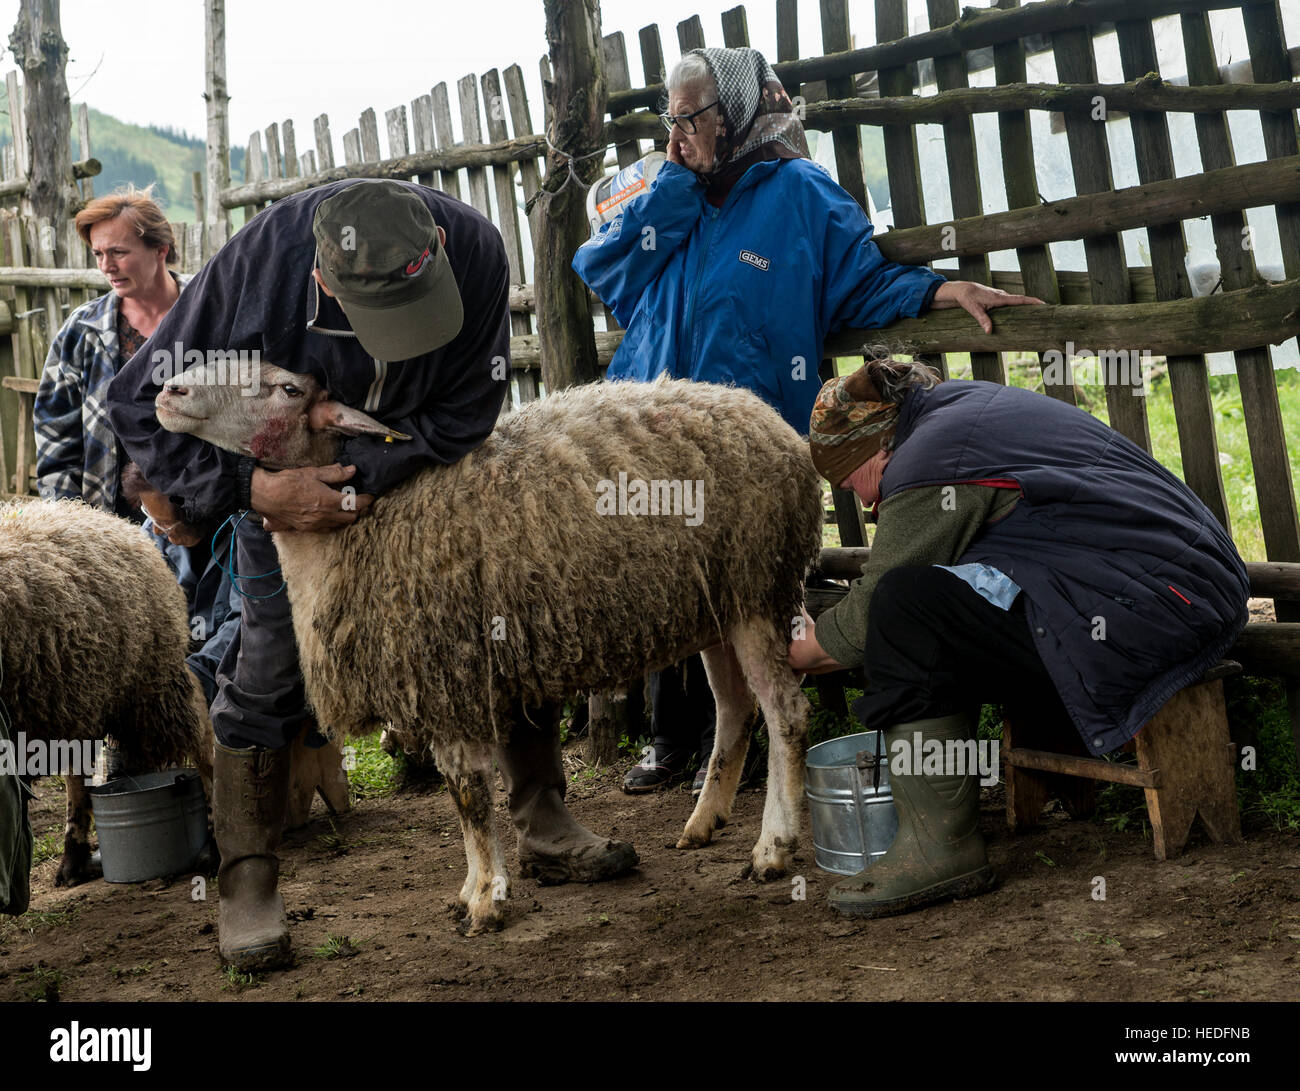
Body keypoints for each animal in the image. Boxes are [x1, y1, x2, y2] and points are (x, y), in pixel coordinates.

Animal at [0, 499, 214, 887]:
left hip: (153, 680)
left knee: (201, 733)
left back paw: (218, 843)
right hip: (75, 696)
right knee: (77, 779)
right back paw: (73, 860)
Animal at [155, 362, 823, 935]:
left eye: (288, 389)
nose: (169, 392)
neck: (353, 530)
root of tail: (771, 420)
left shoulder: (446, 673)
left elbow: (469, 797)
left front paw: (484, 898)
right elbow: (468, 797)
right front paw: (472, 891)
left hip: (760, 585)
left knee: (786, 713)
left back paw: (773, 850)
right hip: (719, 605)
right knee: (736, 711)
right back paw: (704, 823)